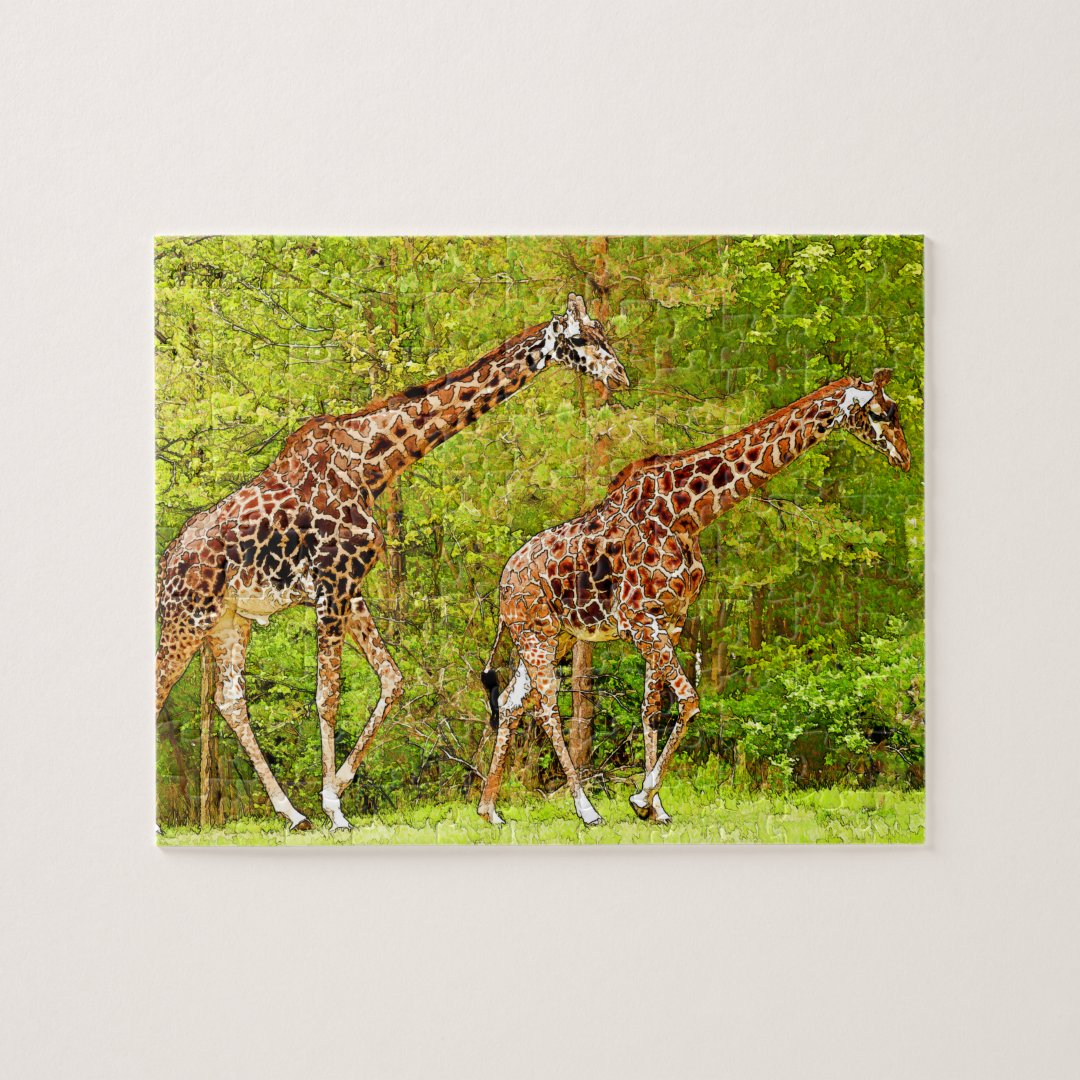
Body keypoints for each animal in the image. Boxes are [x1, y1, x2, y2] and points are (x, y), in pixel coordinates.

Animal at [157, 295, 629, 830]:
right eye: (579, 339)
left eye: (603, 332)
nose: (619, 376)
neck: (372, 466)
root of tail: (166, 562)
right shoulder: (331, 584)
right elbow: (328, 694)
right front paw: (336, 809)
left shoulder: (351, 588)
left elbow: (392, 680)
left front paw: (335, 787)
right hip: (186, 619)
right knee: (162, 688)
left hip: (230, 622)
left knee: (230, 701)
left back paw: (292, 814)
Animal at [477, 369, 911, 826]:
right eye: (880, 413)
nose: (904, 458)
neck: (689, 514)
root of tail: (503, 582)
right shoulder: (640, 620)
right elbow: (688, 700)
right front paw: (641, 798)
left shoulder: (670, 619)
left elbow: (652, 709)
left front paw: (656, 809)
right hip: (536, 634)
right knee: (546, 708)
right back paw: (587, 810)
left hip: (553, 636)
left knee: (510, 701)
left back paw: (489, 810)